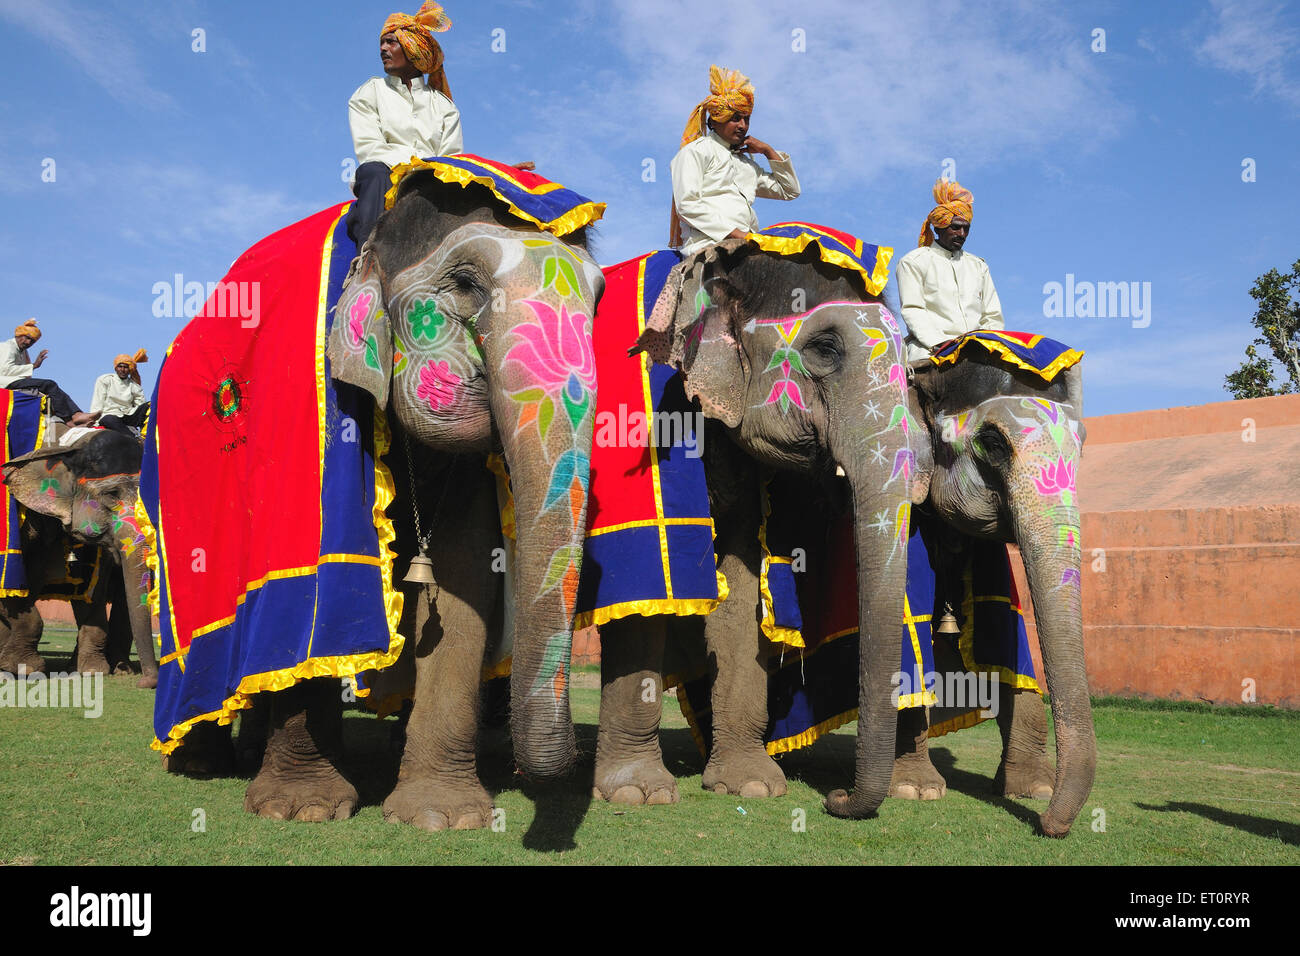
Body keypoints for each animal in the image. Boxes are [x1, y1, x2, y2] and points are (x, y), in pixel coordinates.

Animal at [0, 430, 160, 690]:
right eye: (112, 494)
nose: (147, 682)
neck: (66, 446)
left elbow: (91, 589)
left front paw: (90, 671)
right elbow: (16, 584)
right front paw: (24, 668)